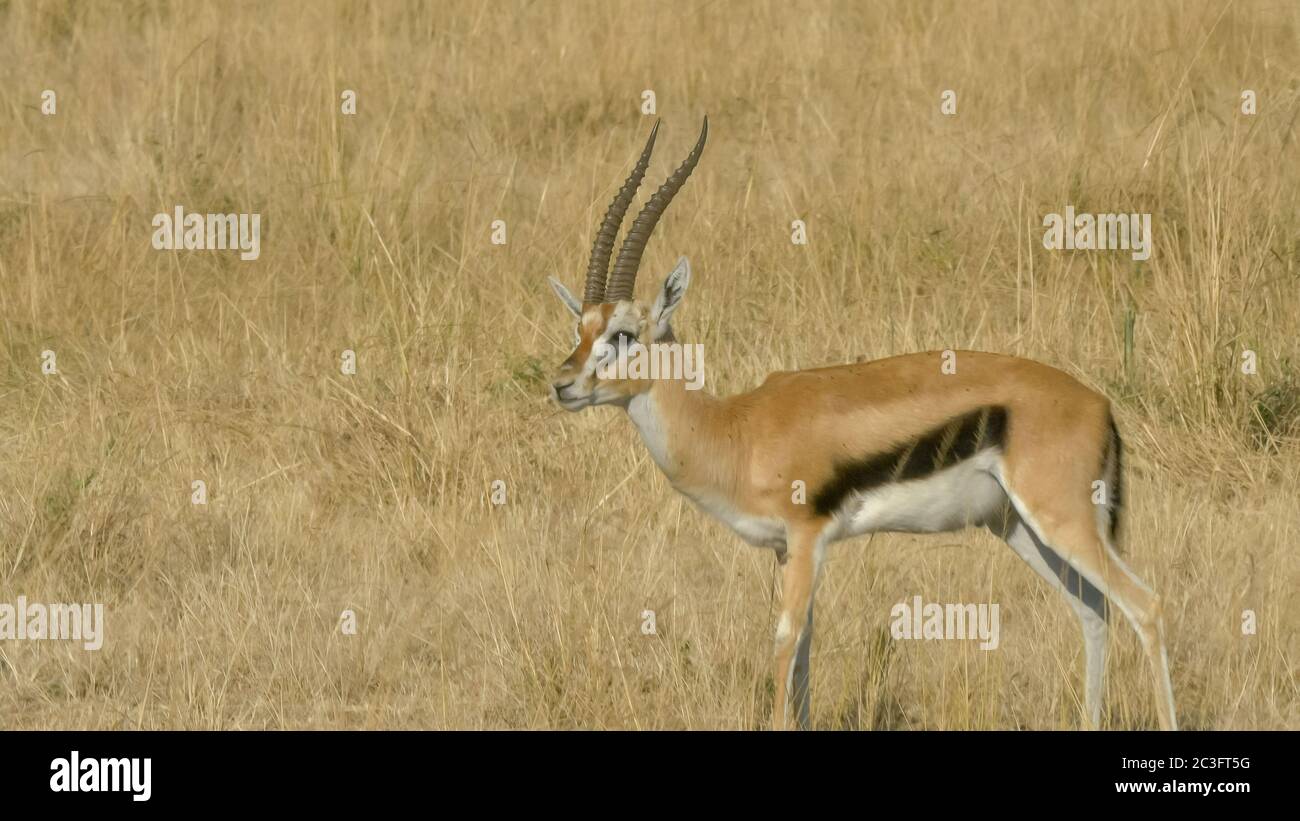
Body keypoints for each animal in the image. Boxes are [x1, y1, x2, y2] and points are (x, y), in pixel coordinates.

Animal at [547, 118, 1178, 731]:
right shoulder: (788, 551)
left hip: (1060, 520)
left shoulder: (807, 538)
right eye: (581, 327)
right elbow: (803, 651)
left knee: (1145, 606)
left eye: (623, 334)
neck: (737, 430)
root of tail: (1099, 405)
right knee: (1093, 611)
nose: (561, 384)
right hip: (1020, 527)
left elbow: (785, 642)